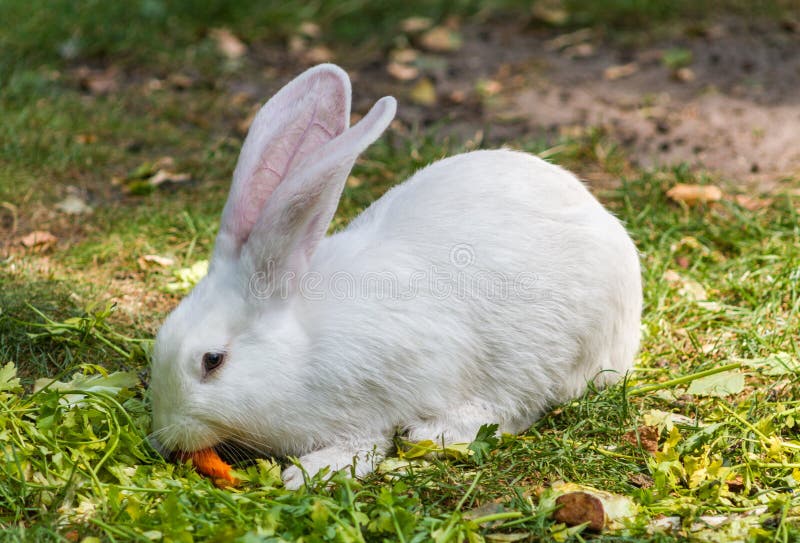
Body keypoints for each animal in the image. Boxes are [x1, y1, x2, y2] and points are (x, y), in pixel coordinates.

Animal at [149, 63, 642, 490]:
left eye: (213, 361)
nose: (169, 434)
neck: (301, 352)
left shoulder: (394, 384)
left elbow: (369, 440)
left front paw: (312, 471)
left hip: (538, 354)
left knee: (515, 408)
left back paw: (432, 432)